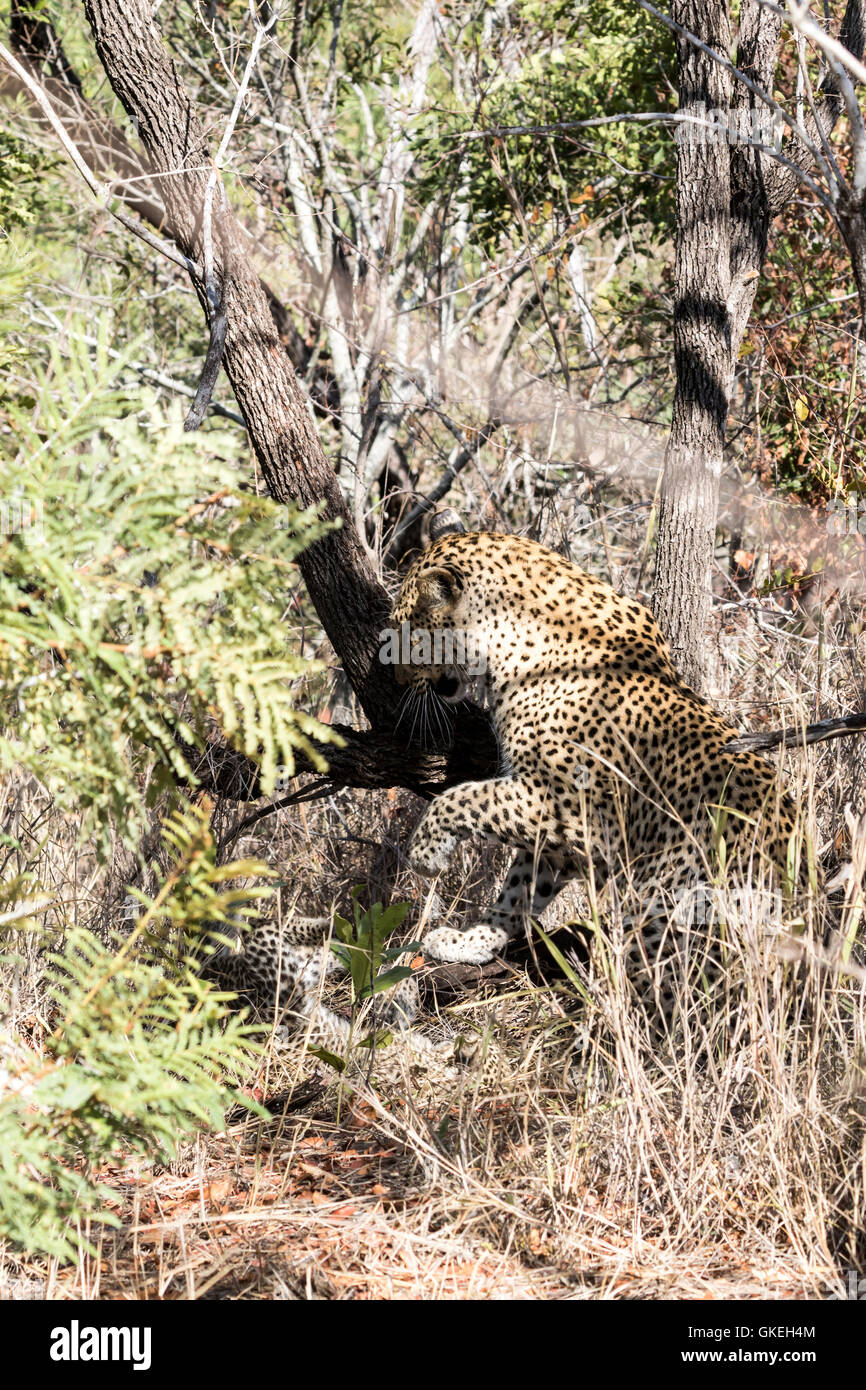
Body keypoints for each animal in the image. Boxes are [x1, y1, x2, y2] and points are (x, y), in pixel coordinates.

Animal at [388, 522, 815, 1027]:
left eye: (408, 630)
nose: (395, 682)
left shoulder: (567, 806)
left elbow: (460, 798)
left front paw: (425, 853)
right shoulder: (563, 836)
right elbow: (518, 890)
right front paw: (471, 942)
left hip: (657, 906)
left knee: (679, 1004)